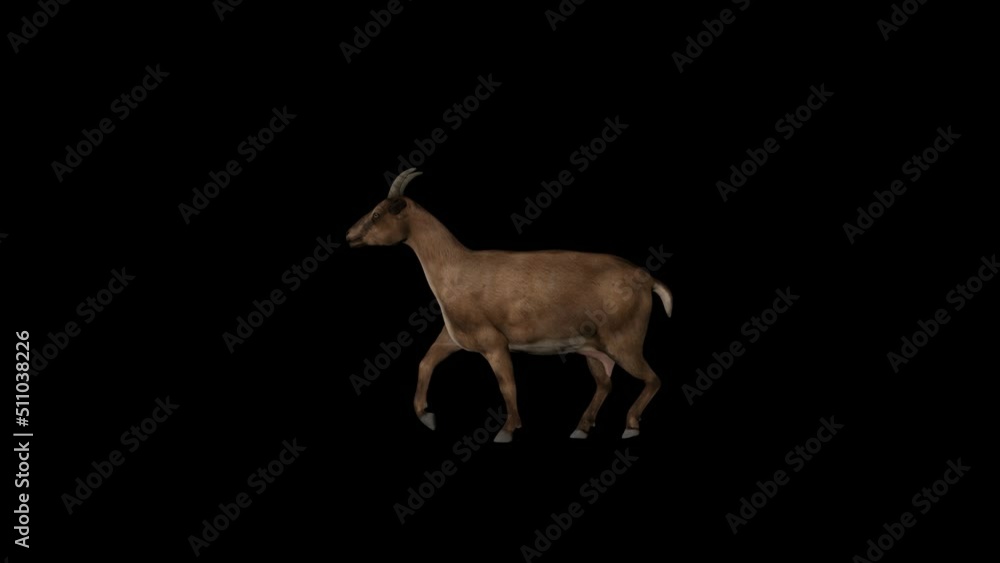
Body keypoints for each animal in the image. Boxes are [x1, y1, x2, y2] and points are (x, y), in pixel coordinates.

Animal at [346, 168, 673, 442]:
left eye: (377, 214)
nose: (349, 236)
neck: (457, 267)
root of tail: (648, 280)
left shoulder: (494, 343)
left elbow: (507, 384)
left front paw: (506, 430)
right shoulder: (452, 337)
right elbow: (425, 362)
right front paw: (427, 416)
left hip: (624, 341)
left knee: (653, 379)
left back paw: (630, 426)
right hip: (593, 348)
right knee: (606, 383)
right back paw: (580, 428)